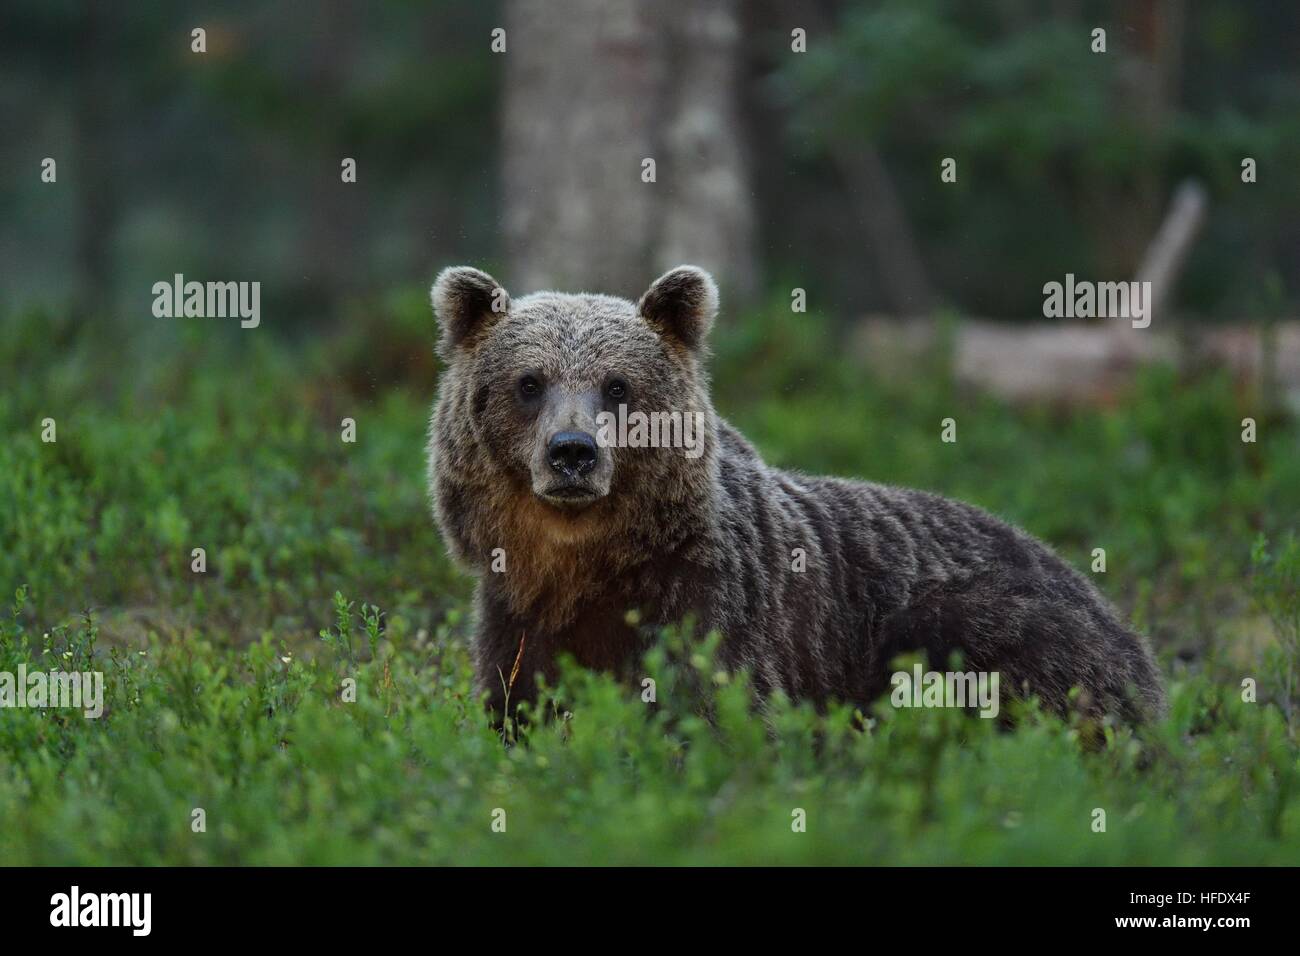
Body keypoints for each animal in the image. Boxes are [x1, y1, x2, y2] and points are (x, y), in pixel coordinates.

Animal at [426, 264, 1165, 725]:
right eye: (529, 382)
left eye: (617, 385)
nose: (573, 452)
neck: (584, 563)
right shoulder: (516, 613)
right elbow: (516, 704)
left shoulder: (716, 603)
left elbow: (715, 710)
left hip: (1002, 619)